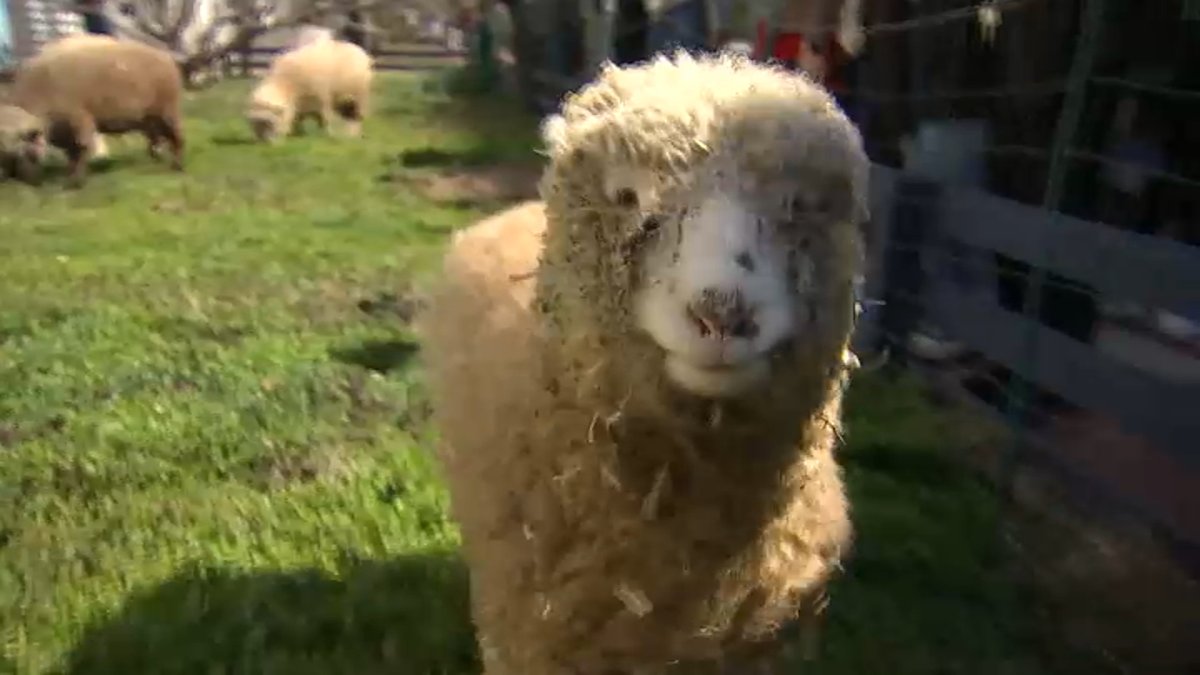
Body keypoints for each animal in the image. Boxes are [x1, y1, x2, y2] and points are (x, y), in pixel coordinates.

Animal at [10, 36, 184, 187]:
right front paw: (70, 177)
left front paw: (77, 182)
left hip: (167, 111)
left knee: (176, 137)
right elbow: (71, 153)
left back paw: (177, 166)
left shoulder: (79, 117)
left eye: (26, 152)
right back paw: (160, 160)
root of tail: (167, 58)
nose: (30, 182)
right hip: (151, 119)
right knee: (160, 138)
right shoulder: (64, 129)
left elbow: (81, 147)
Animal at [245, 38, 373, 143]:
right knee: (350, 115)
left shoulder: (322, 99)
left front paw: (328, 135)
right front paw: (296, 134)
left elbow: (325, 119)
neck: (285, 84)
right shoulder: (298, 105)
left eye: (270, 122)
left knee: (357, 116)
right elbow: (297, 119)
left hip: (360, 96)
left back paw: (353, 134)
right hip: (343, 100)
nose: (265, 143)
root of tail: (355, 47)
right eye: (254, 124)